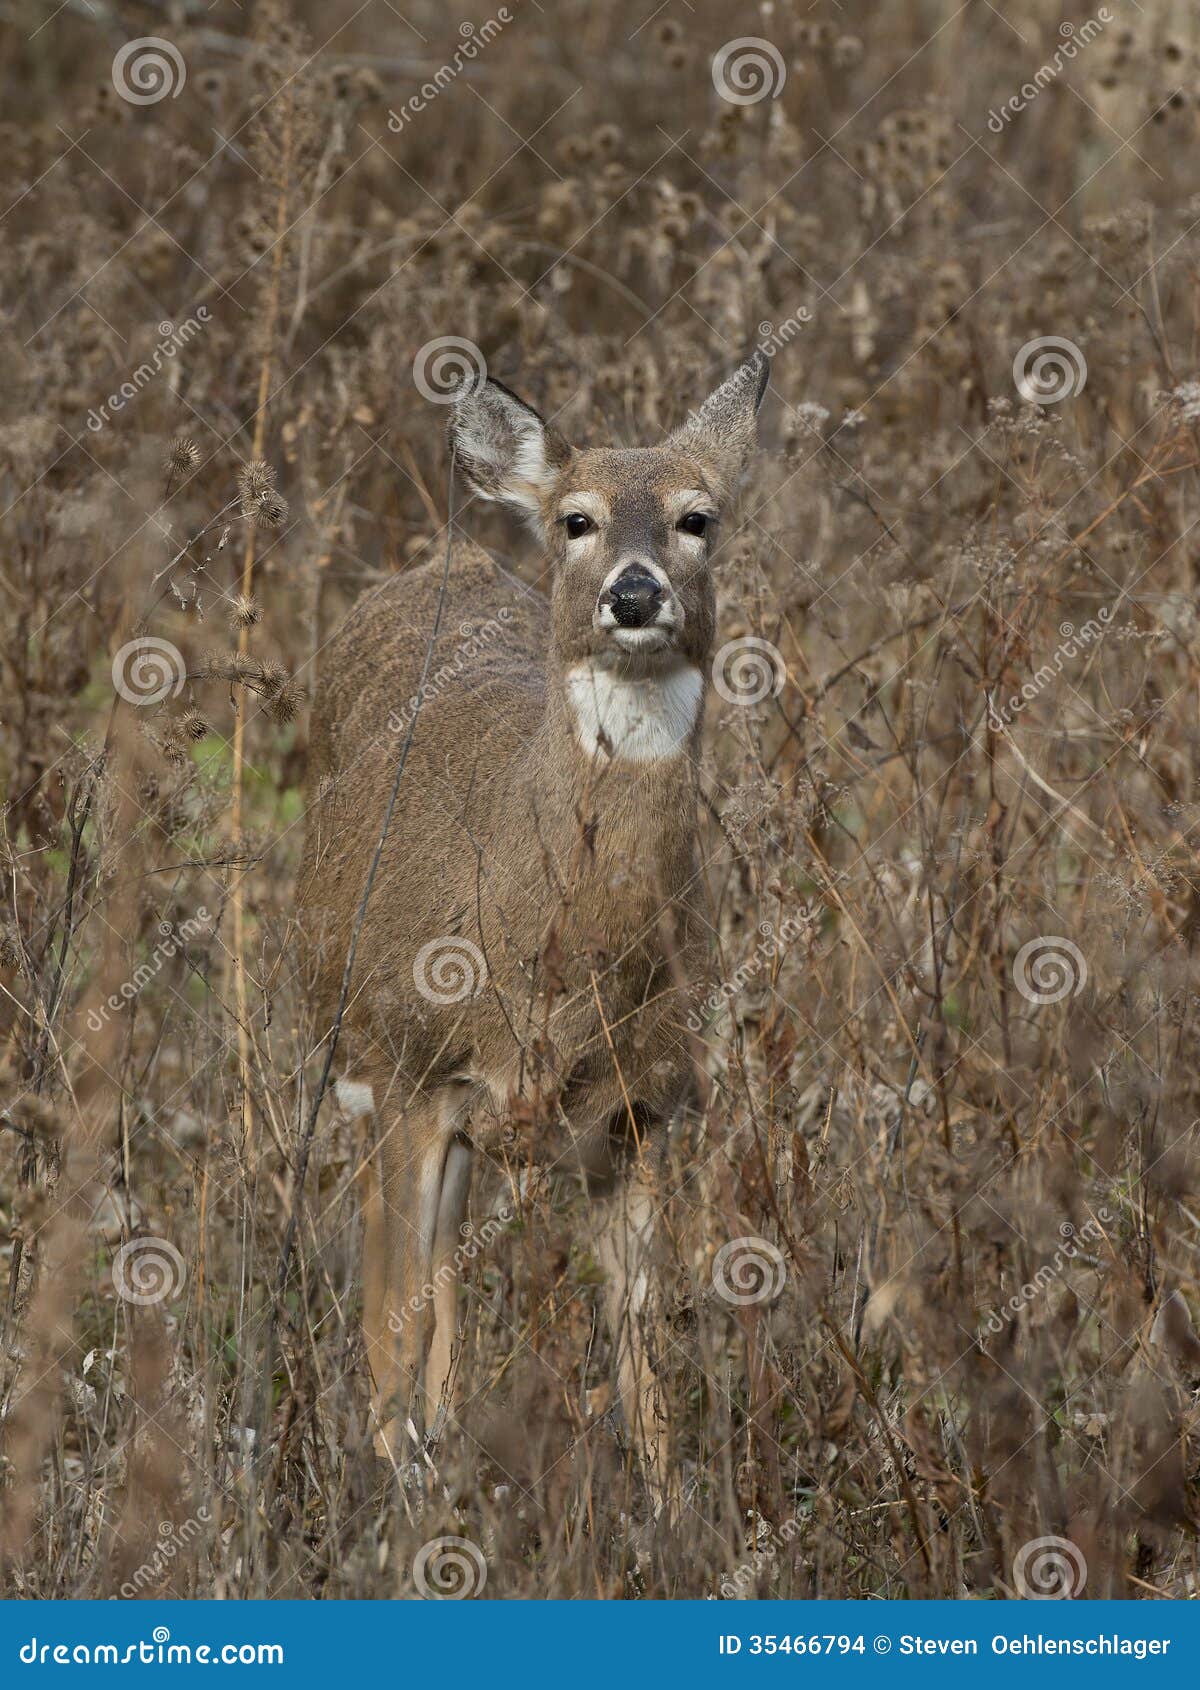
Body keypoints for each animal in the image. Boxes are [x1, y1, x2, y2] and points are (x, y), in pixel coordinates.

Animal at [299, 350, 768, 1498]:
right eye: (576, 519)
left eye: (699, 516)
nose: (634, 593)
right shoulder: (412, 1072)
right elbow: (392, 1319)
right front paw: (397, 1495)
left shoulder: (642, 1112)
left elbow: (644, 1353)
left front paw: (673, 1509)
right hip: (367, 1063)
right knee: (399, 1292)